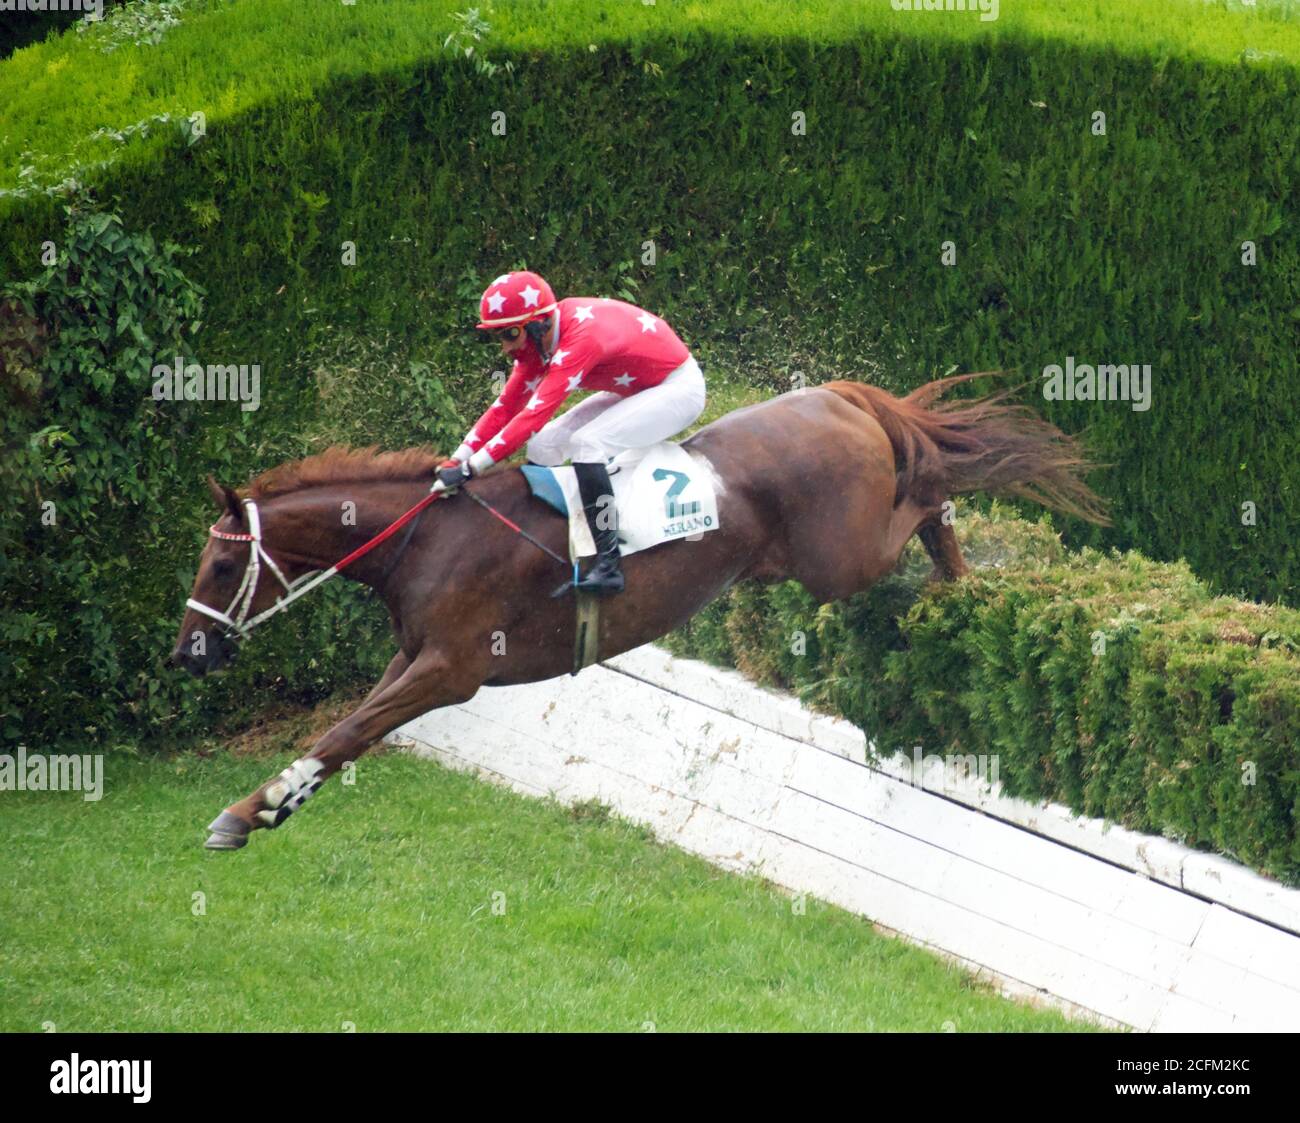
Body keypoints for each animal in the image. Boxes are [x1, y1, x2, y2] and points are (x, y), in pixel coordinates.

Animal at [172, 371, 1107, 847]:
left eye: (220, 562)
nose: (187, 652)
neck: (431, 534)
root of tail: (840, 395)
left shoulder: (452, 668)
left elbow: (348, 728)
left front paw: (242, 813)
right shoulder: (414, 657)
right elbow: (348, 732)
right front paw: (265, 808)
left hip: (842, 559)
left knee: (931, 496)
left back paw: (957, 572)